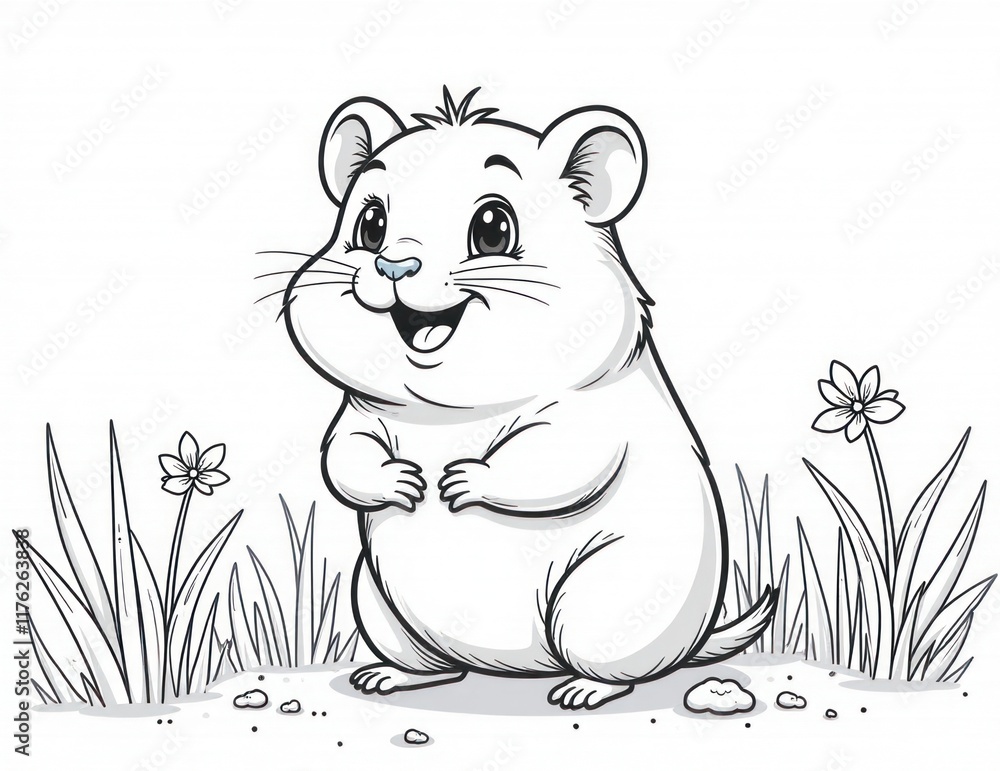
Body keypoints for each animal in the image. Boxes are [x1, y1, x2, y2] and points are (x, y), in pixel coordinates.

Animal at [284, 87, 776, 710]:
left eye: (492, 228)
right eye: (371, 223)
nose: (393, 263)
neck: (452, 410)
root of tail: (521, 666)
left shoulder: (589, 417)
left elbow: (553, 460)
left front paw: (459, 480)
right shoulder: (360, 413)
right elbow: (343, 456)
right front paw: (406, 482)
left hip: (603, 600)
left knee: (619, 668)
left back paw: (582, 690)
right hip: (375, 602)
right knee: (435, 666)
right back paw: (389, 677)